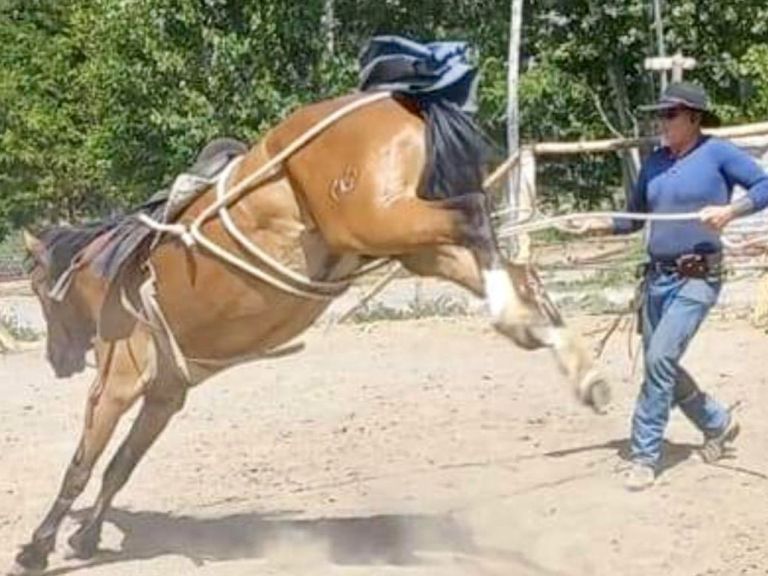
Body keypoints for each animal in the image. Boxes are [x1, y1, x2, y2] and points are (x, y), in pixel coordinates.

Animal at [10, 91, 610, 575]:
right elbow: (119, 468)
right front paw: (86, 538)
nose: (58, 360)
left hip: (380, 222)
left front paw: (38, 547)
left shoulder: (117, 386)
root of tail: (403, 105)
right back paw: (571, 362)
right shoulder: (165, 395)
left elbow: (82, 467)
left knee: (473, 216)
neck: (113, 272)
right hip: (411, 247)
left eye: (38, 290)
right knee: (517, 268)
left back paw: (522, 322)